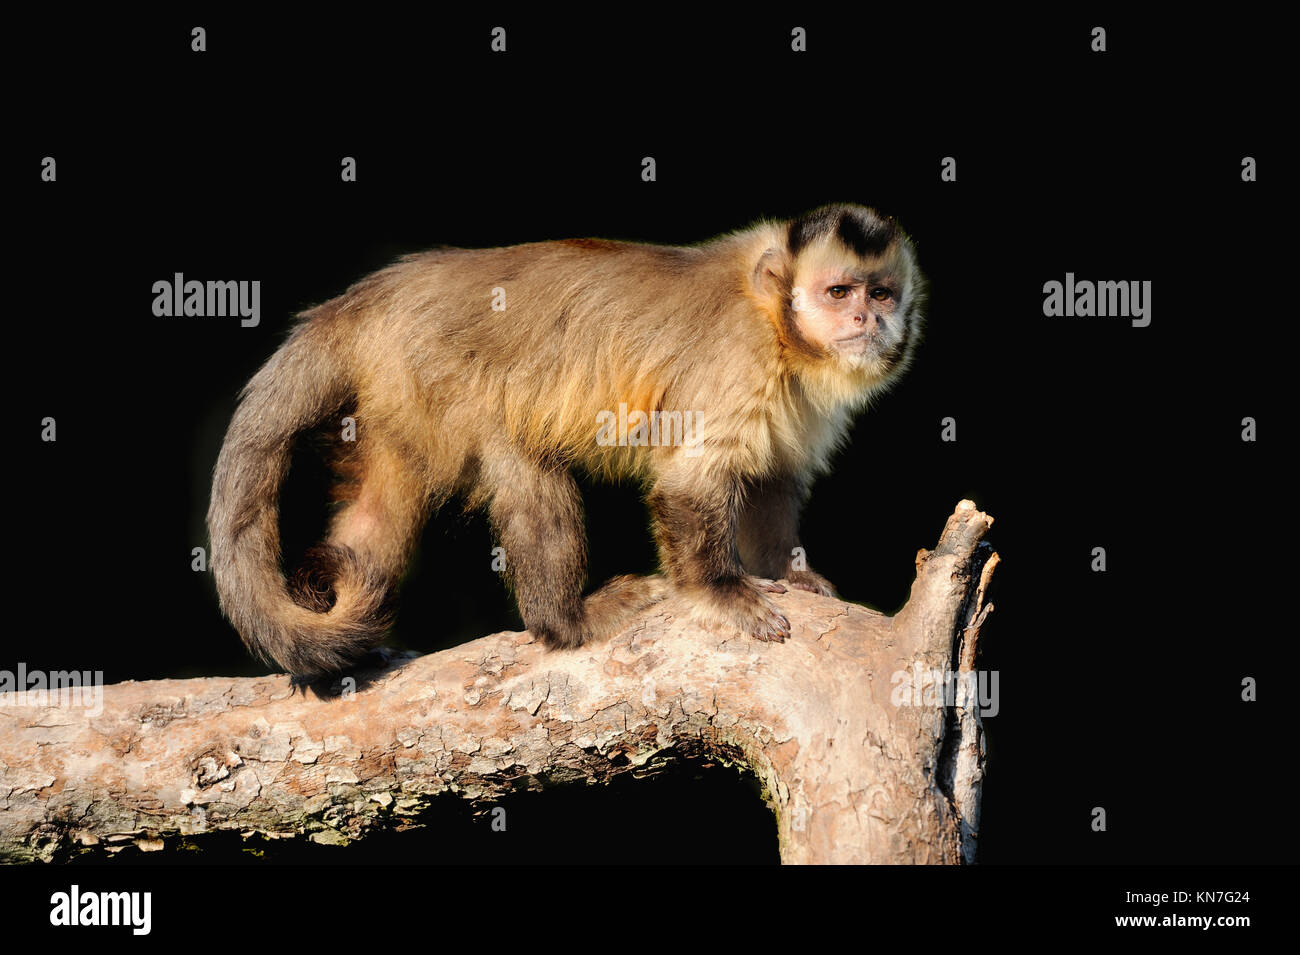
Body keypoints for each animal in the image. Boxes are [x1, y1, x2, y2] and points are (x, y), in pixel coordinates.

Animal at [207, 204, 926, 677]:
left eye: (881, 293)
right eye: (838, 292)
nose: (867, 319)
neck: (777, 326)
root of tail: (370, 296)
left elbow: (774, 480)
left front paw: (787, 572)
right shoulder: (738, 358)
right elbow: (689, 483)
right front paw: (722, 591)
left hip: (397, 391)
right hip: (435, 366)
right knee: (525, 461)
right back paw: (566, 621)